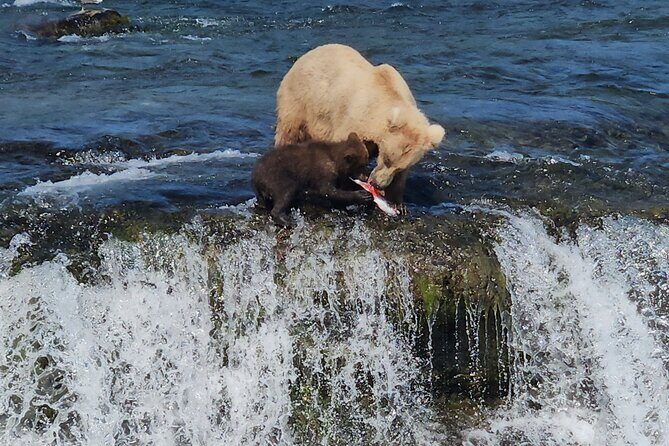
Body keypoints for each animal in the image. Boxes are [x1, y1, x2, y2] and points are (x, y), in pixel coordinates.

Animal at [275, 43, 445, 205]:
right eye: (387, 159)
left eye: (398, 167)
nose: (377, 184)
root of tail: (307, 54)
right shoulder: (355, 118)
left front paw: (397, 202)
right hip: (300, 101)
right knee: (289, 132)